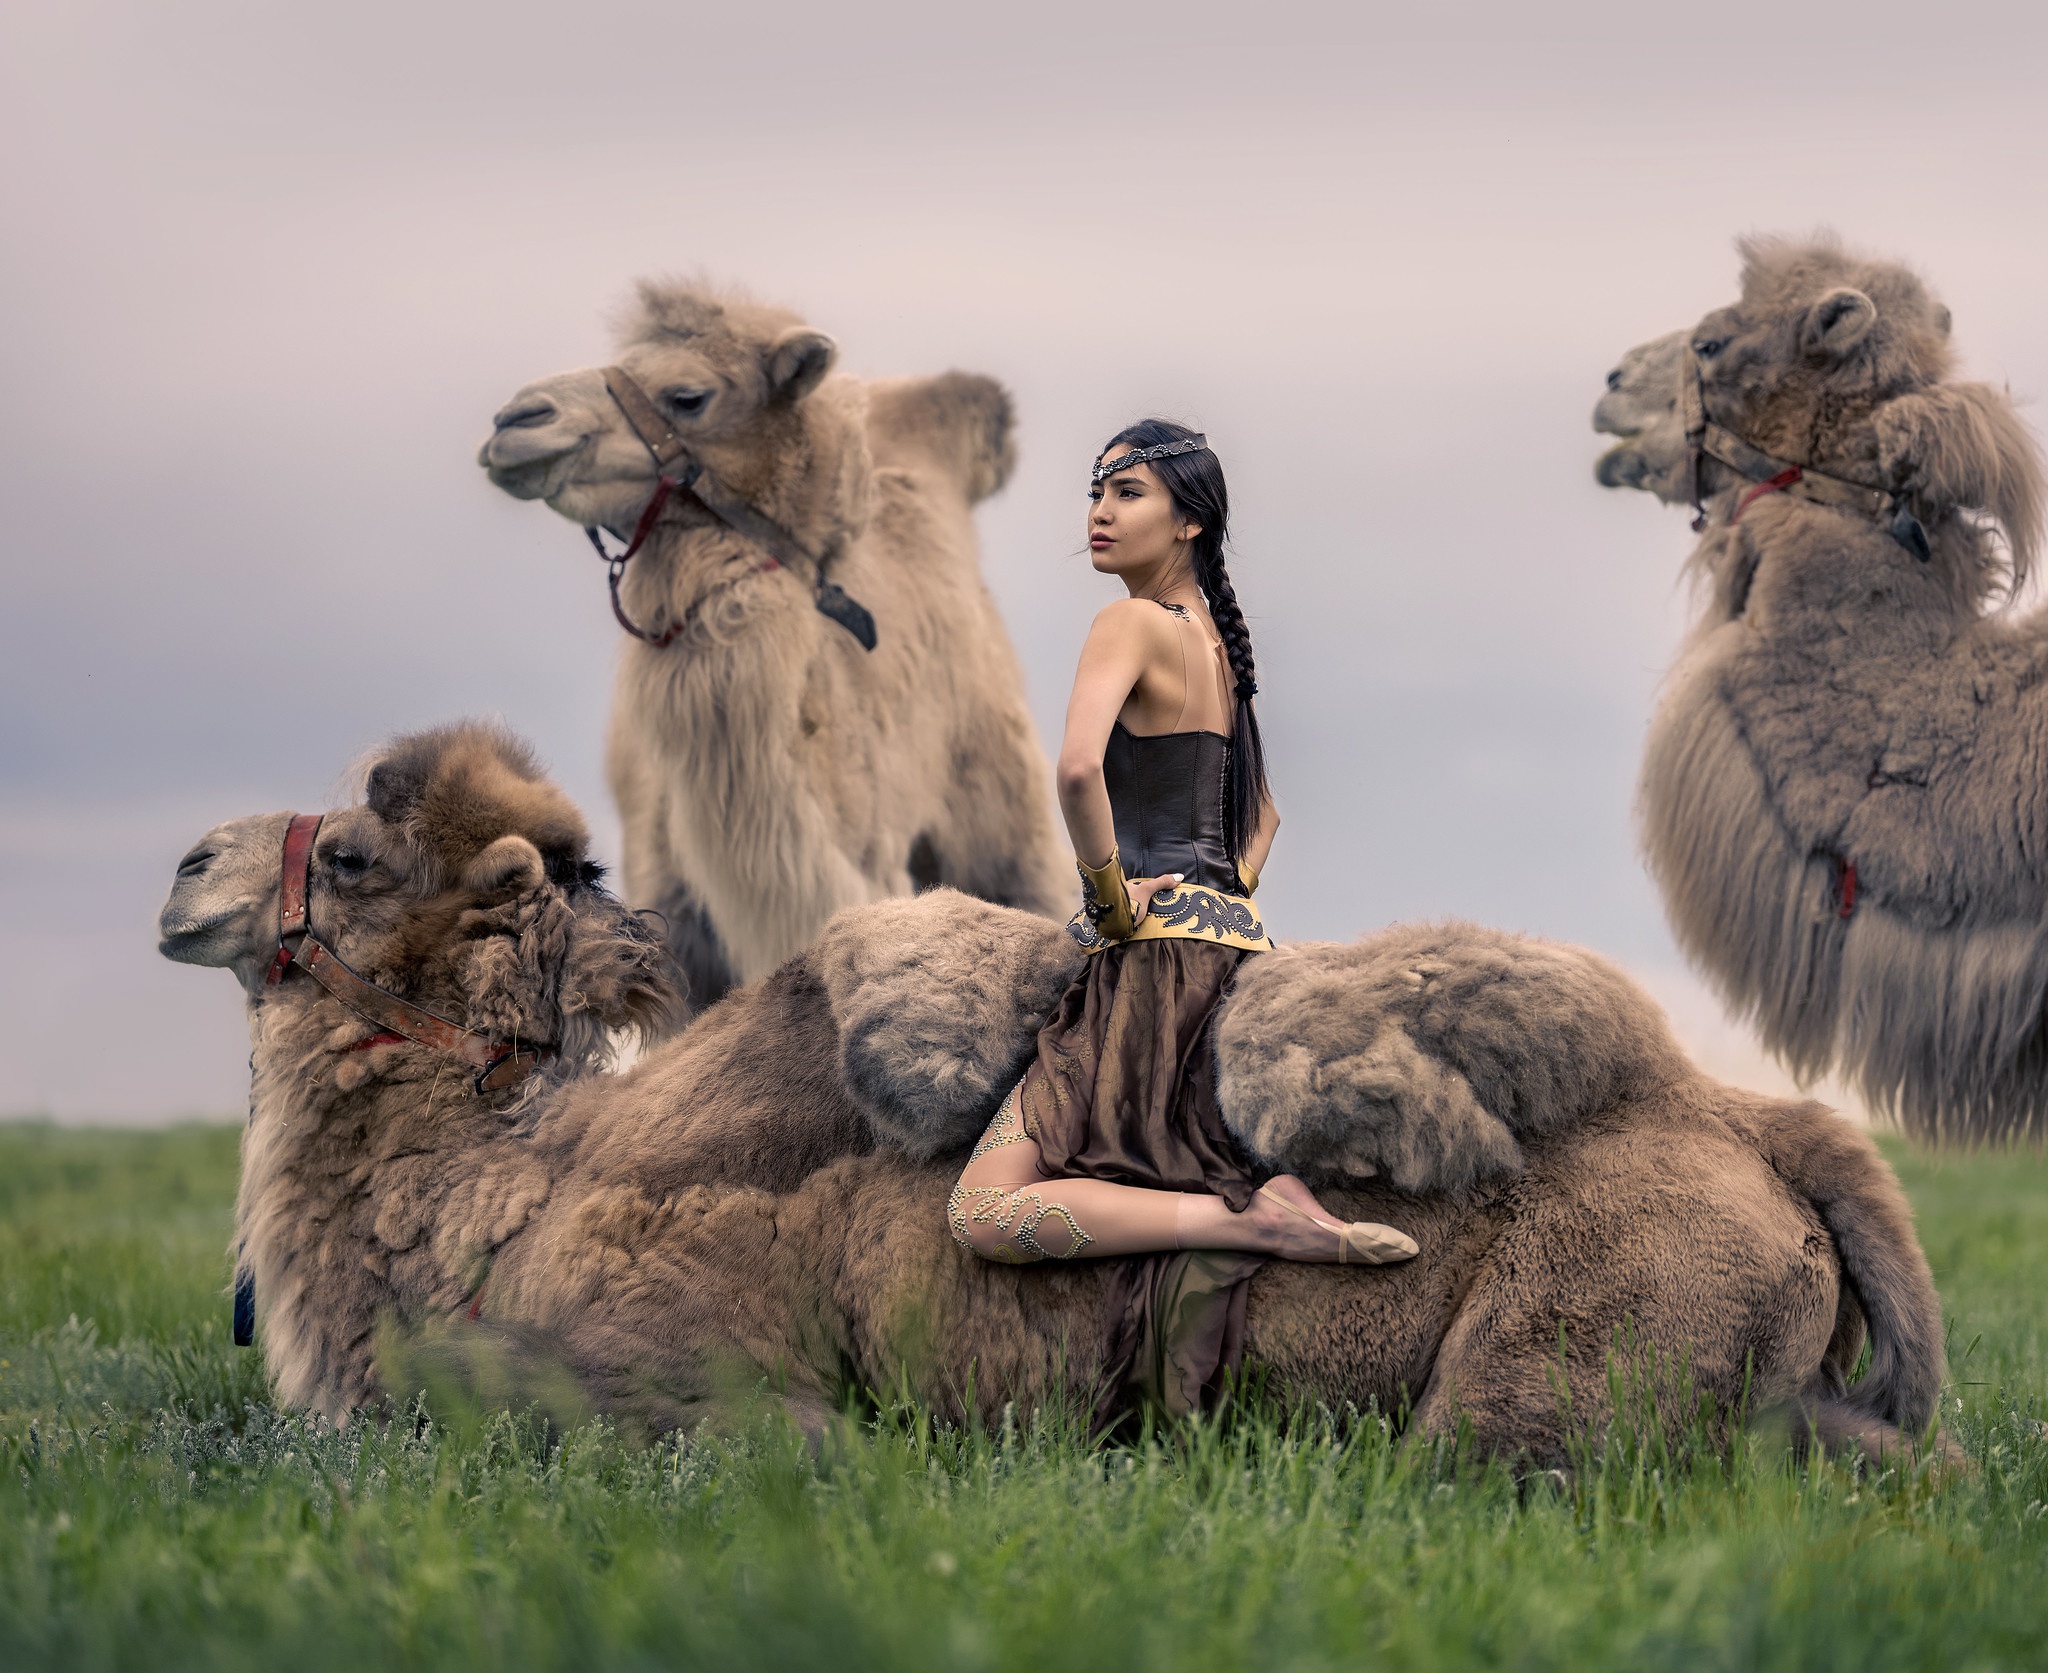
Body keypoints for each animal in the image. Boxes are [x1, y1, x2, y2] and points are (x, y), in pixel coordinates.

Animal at [158, 723, 1946, 1465]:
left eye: (360, 856)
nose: (186, 871)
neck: (489, 1201)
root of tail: (1757, 1130)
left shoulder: (675, 1389)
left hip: (1550, 1386)